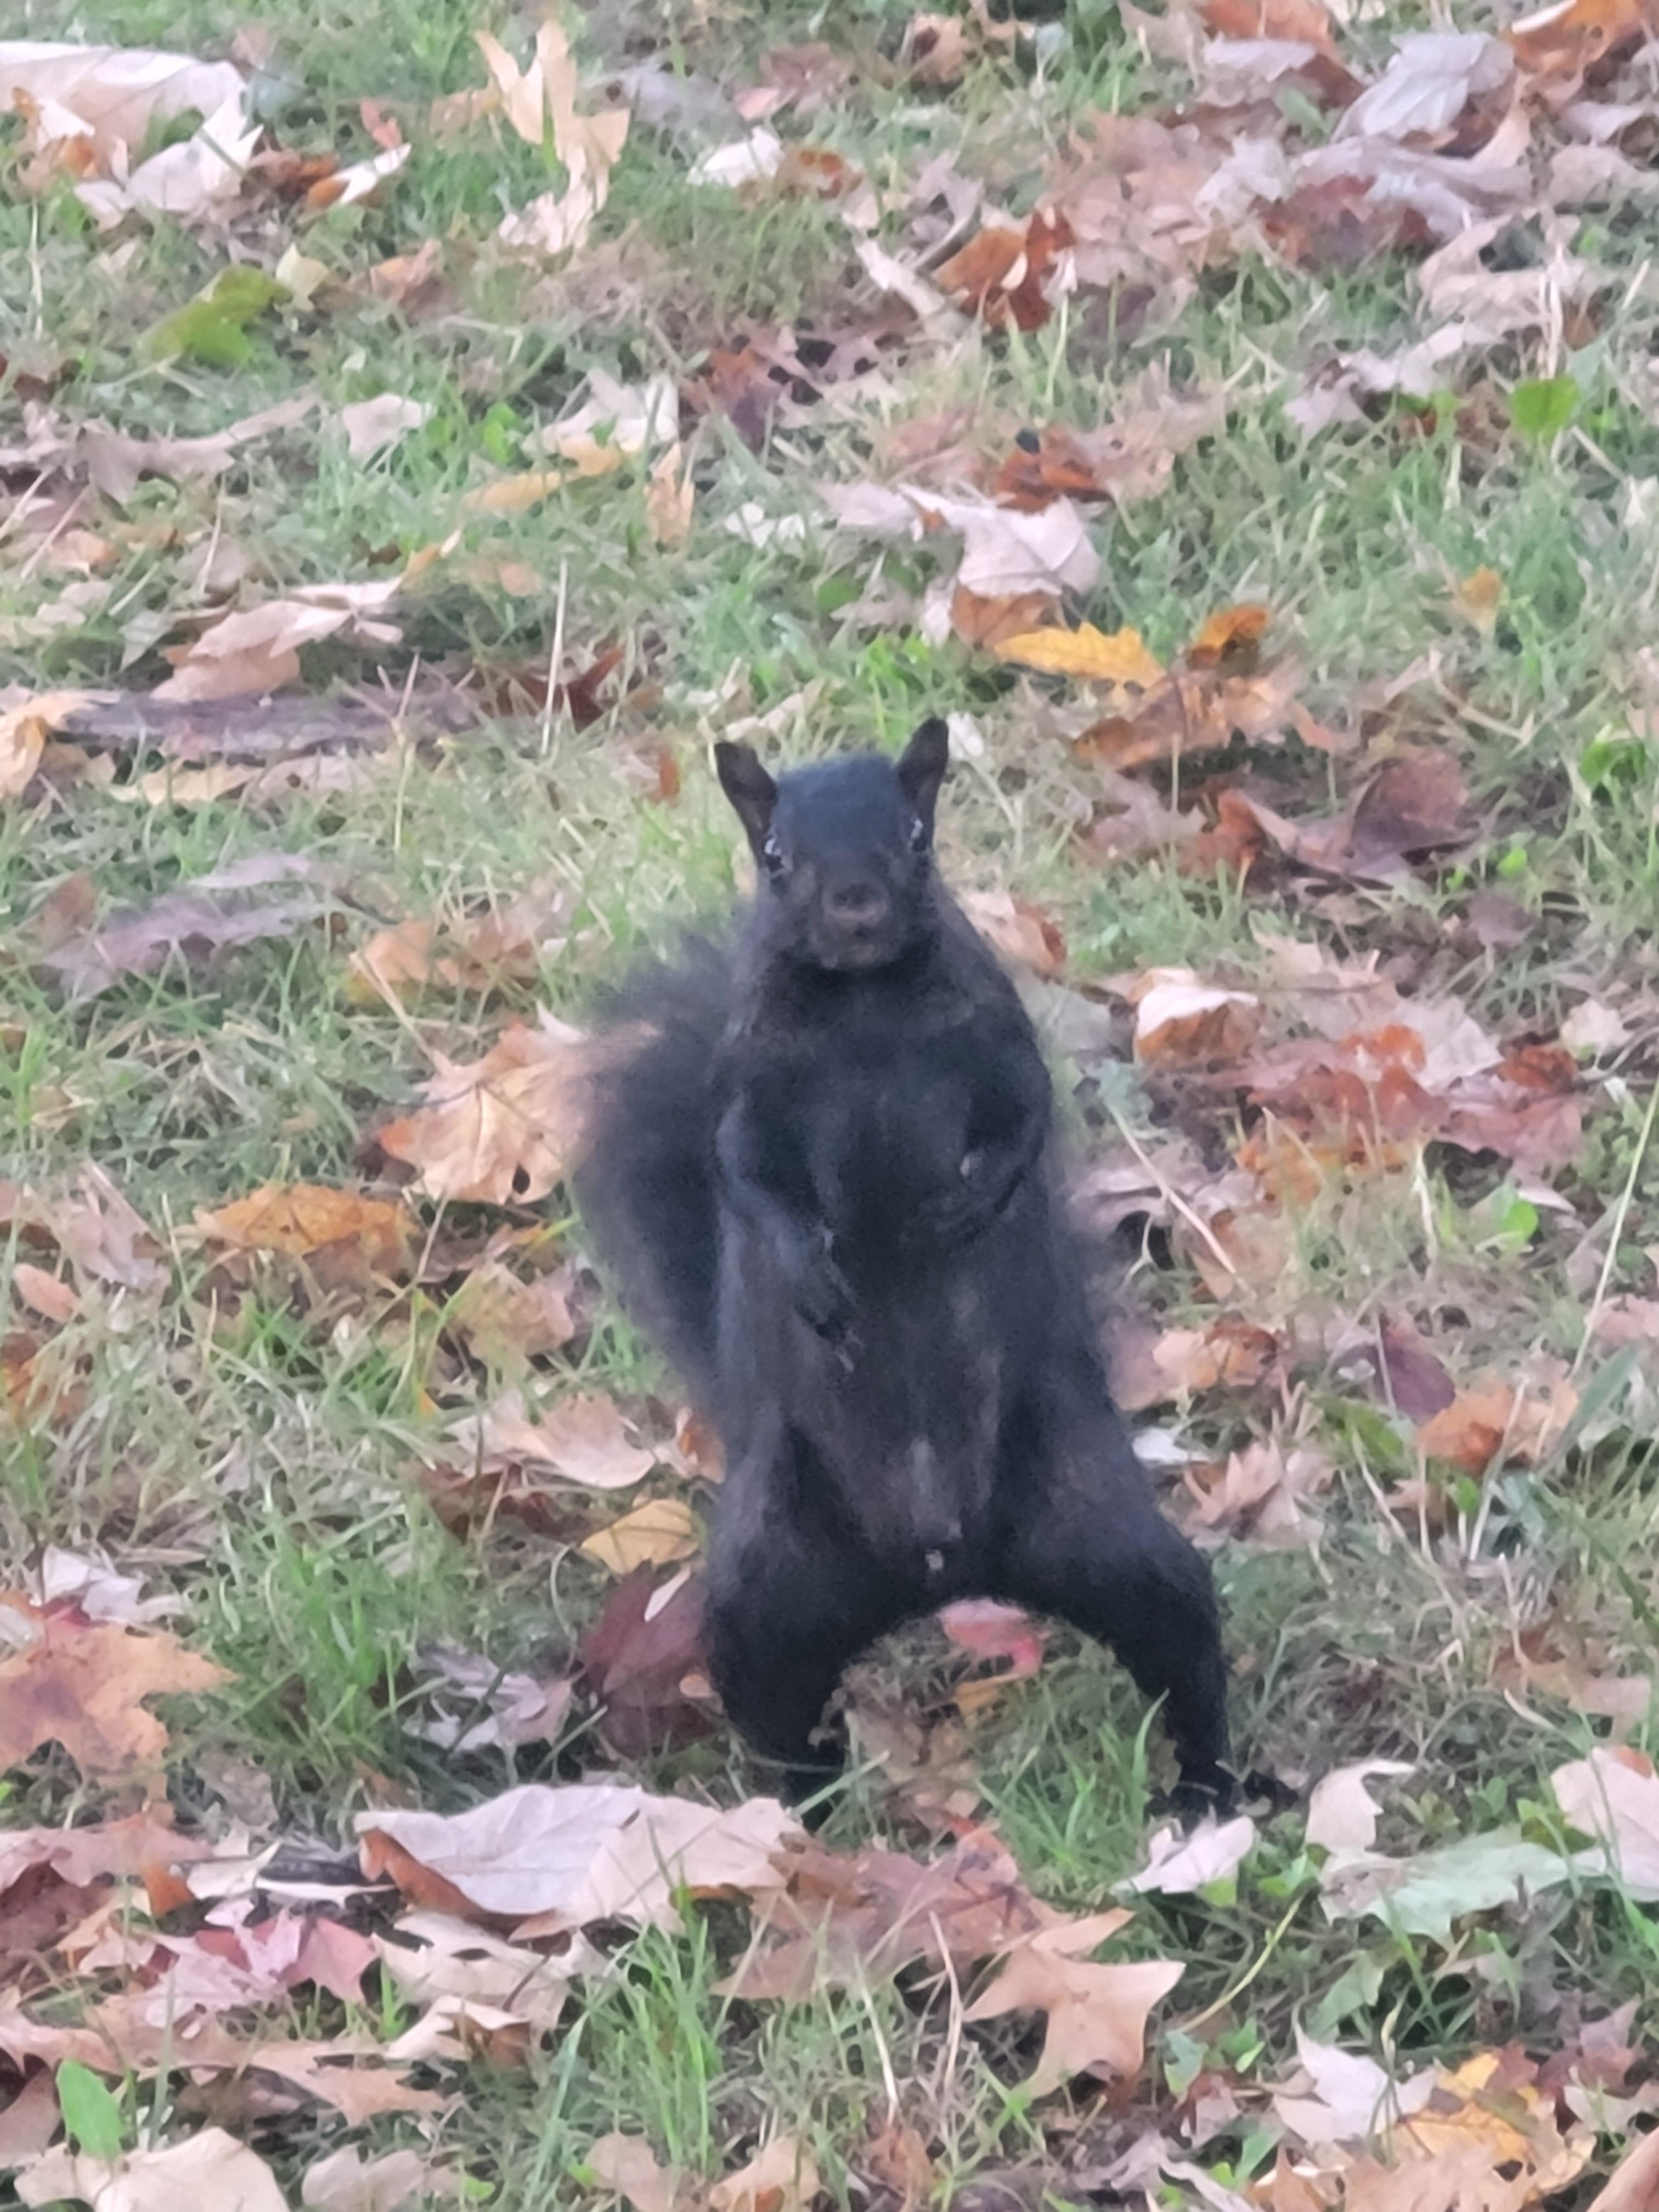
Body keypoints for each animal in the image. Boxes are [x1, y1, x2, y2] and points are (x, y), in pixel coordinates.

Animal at [576, 719, 1240, 1821]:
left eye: (918, 839)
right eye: (775, 858)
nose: (855, 909)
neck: (863, 1004)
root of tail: (944, 1569)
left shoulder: (999, 1042)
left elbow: (1022, 1120)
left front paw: (965, 1209)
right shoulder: (748, 1092)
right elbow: (749, 1176)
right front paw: (813, 1278)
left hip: (1102, 1531)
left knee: (1180, 1646)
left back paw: (1212, 1788)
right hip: (766, 1592)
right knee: (782, 1715)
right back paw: (800, 1823)